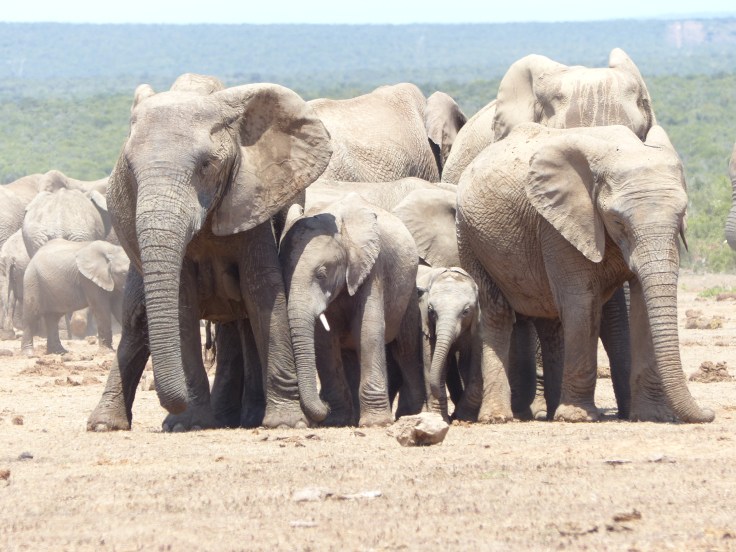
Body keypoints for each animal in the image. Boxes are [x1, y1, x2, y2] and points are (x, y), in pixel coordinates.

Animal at [87, 73, 332, 432]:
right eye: (128, 169)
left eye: (206, 165)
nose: (173, 403)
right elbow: (182, 302)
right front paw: (186, 425)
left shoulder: (252, 200)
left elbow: (264, 293)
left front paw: (287, 424)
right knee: (135, 321)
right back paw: (105, 425)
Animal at [279, 193, 426, 427]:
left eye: (321, 274)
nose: (324, 406)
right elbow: (324, 340)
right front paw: (336, 421)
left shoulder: (373, 266)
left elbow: (368, 329)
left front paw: (376, 423)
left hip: (409, 292)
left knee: (405, 349)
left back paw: (409, 414)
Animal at [456, 122, 714, 424]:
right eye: (617, 221)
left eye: (682, 215)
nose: (709, 413)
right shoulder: (557, 225)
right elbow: (581, 302)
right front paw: (577, 416)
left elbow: (641, 302)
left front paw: (652, 415)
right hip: (469, 236)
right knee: (498, 312)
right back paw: (498, 417)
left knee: (549, 319)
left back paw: (550, 412)